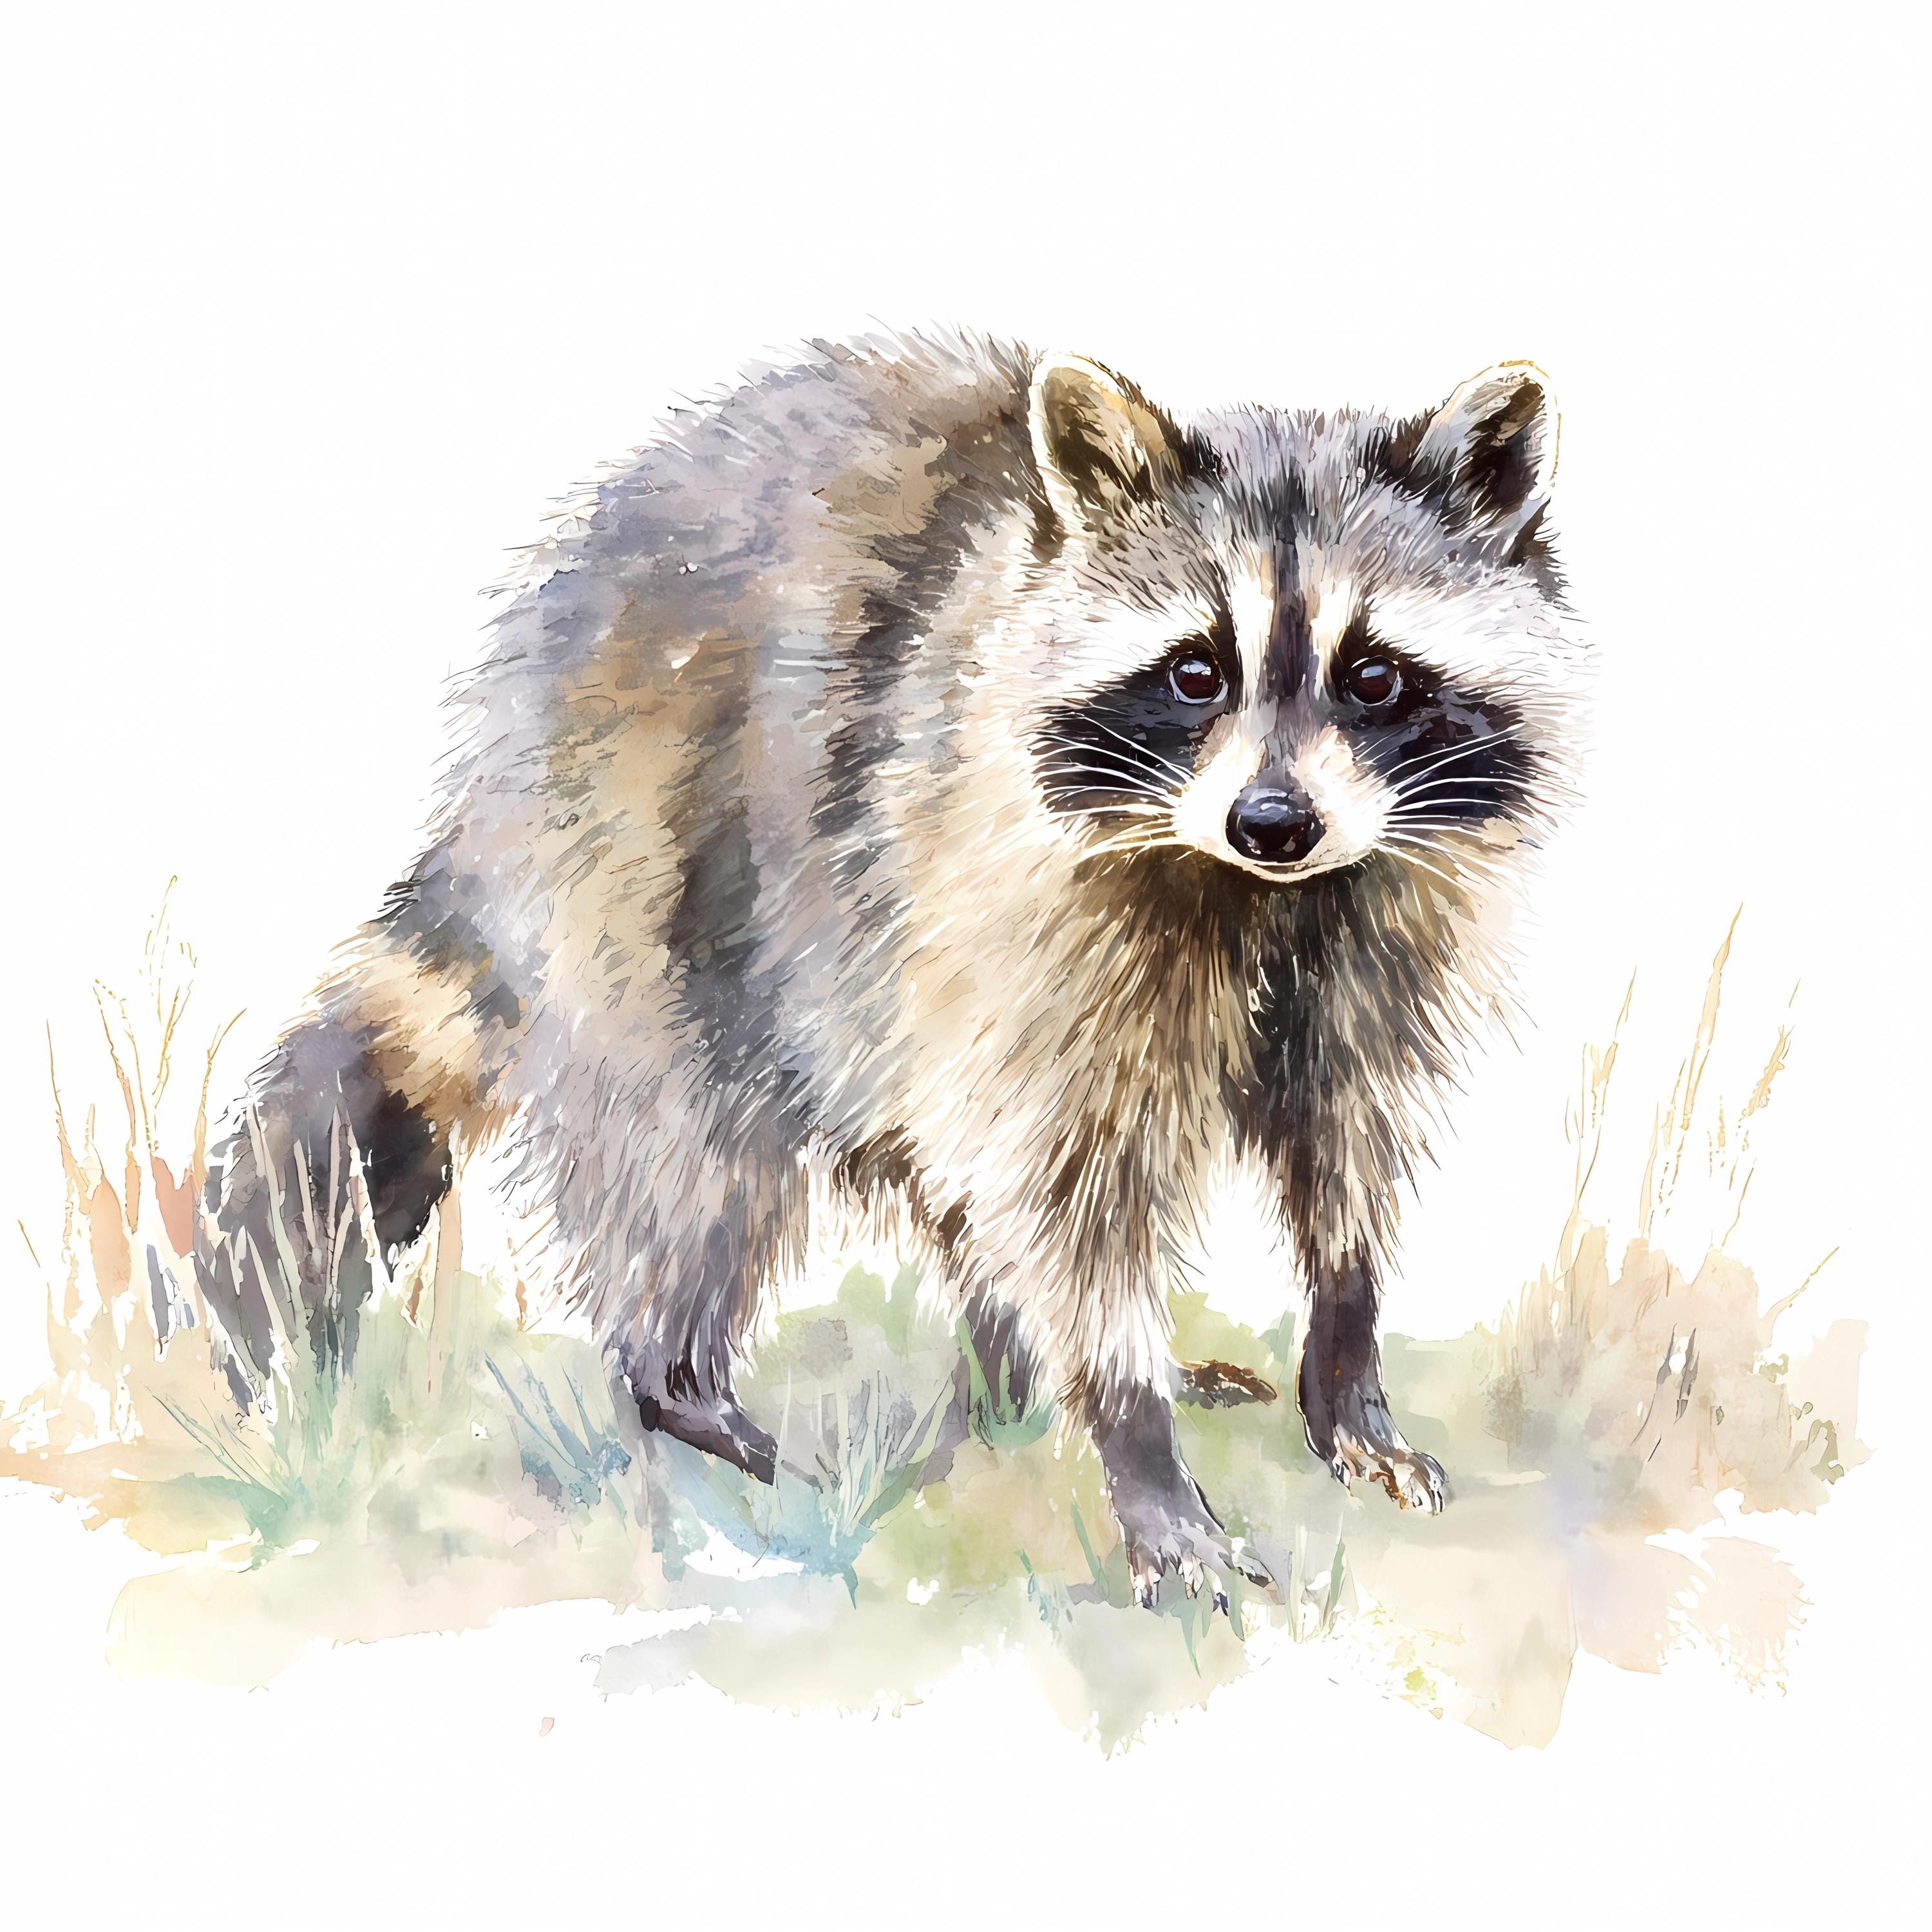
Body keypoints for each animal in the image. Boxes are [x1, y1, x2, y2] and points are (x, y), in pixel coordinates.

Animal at [196, 330, 1583, 1610]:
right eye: (1196, 672)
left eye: (1375, 675)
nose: (1275, 820)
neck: (1265, 897)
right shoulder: (1013, 895)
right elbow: (1064, 1187)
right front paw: (1141, 1453)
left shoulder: (1377, 939)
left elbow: (1344, 1157)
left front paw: (1345, 1381)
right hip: (656, 869)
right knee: (693, 1160)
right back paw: (687, 1392)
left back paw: (1002, 1377)